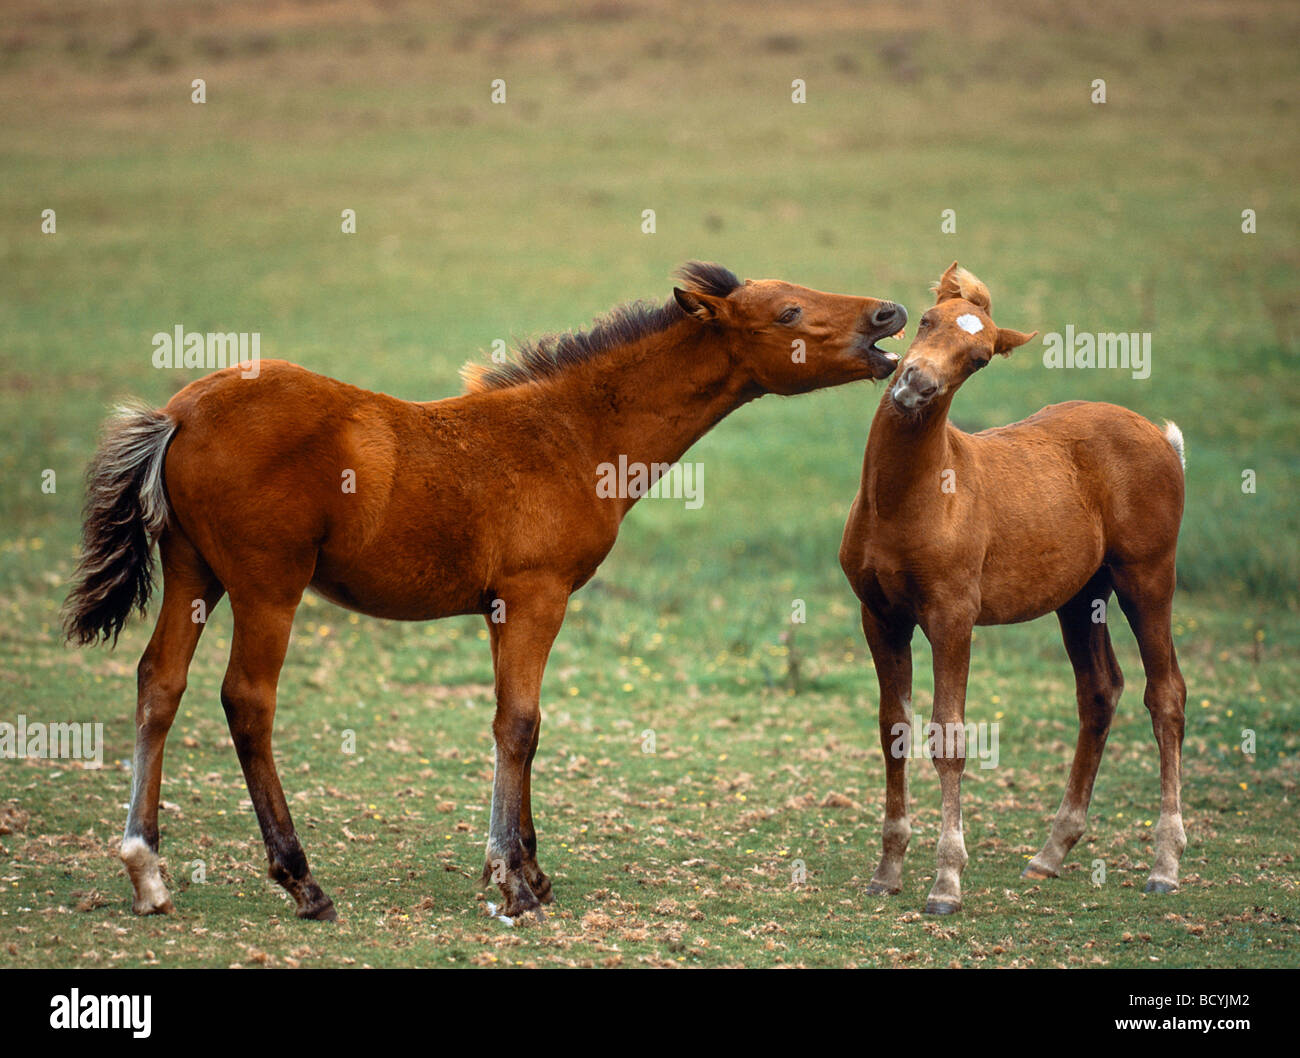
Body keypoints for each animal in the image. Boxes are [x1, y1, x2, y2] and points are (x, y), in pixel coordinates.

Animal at [64, 261, 907, 921]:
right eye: (788, 311)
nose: (887, 314)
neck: (575, 432)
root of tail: (177, 413)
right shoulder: (536, 596)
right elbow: (519, 725)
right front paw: (513, 883)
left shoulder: (508, 605)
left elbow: (519, 722)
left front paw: (530, 868)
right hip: (269, 584)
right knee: (246, 701)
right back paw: (302, 881)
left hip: (194, 573)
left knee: (159, 683)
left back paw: (147, 872)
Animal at [839, 263, 1186, 914]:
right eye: (927, 320)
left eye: (978, 359)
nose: (916, 383)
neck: (911, 496)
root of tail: (1157, 436)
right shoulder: (880, 616)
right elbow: (893, 729)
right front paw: (887, 872)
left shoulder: (952, 617)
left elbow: (948, 737)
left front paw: (946, 883)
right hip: (1081, 597)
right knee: (1099, 692)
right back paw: (1051, 853)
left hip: (1147, 577)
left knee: (1166, 695)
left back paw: (1166, 864)